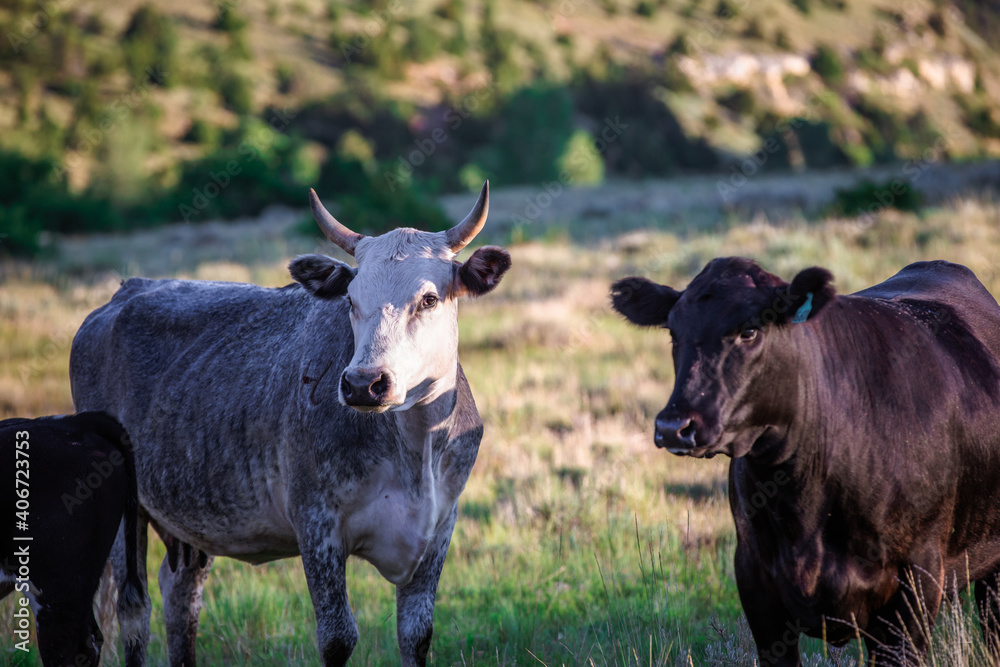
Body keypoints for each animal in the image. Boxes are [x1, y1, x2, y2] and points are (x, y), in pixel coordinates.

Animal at [68, 182, 511, 666]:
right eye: (351, 300)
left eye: (428, 299)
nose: (364, 384)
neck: (415, 447)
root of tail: (123, 294)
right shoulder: (316, 525)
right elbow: (338, 638)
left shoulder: (439, 528)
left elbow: (417, 634)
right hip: (123, 514)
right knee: (133, 608)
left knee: (181, 592)